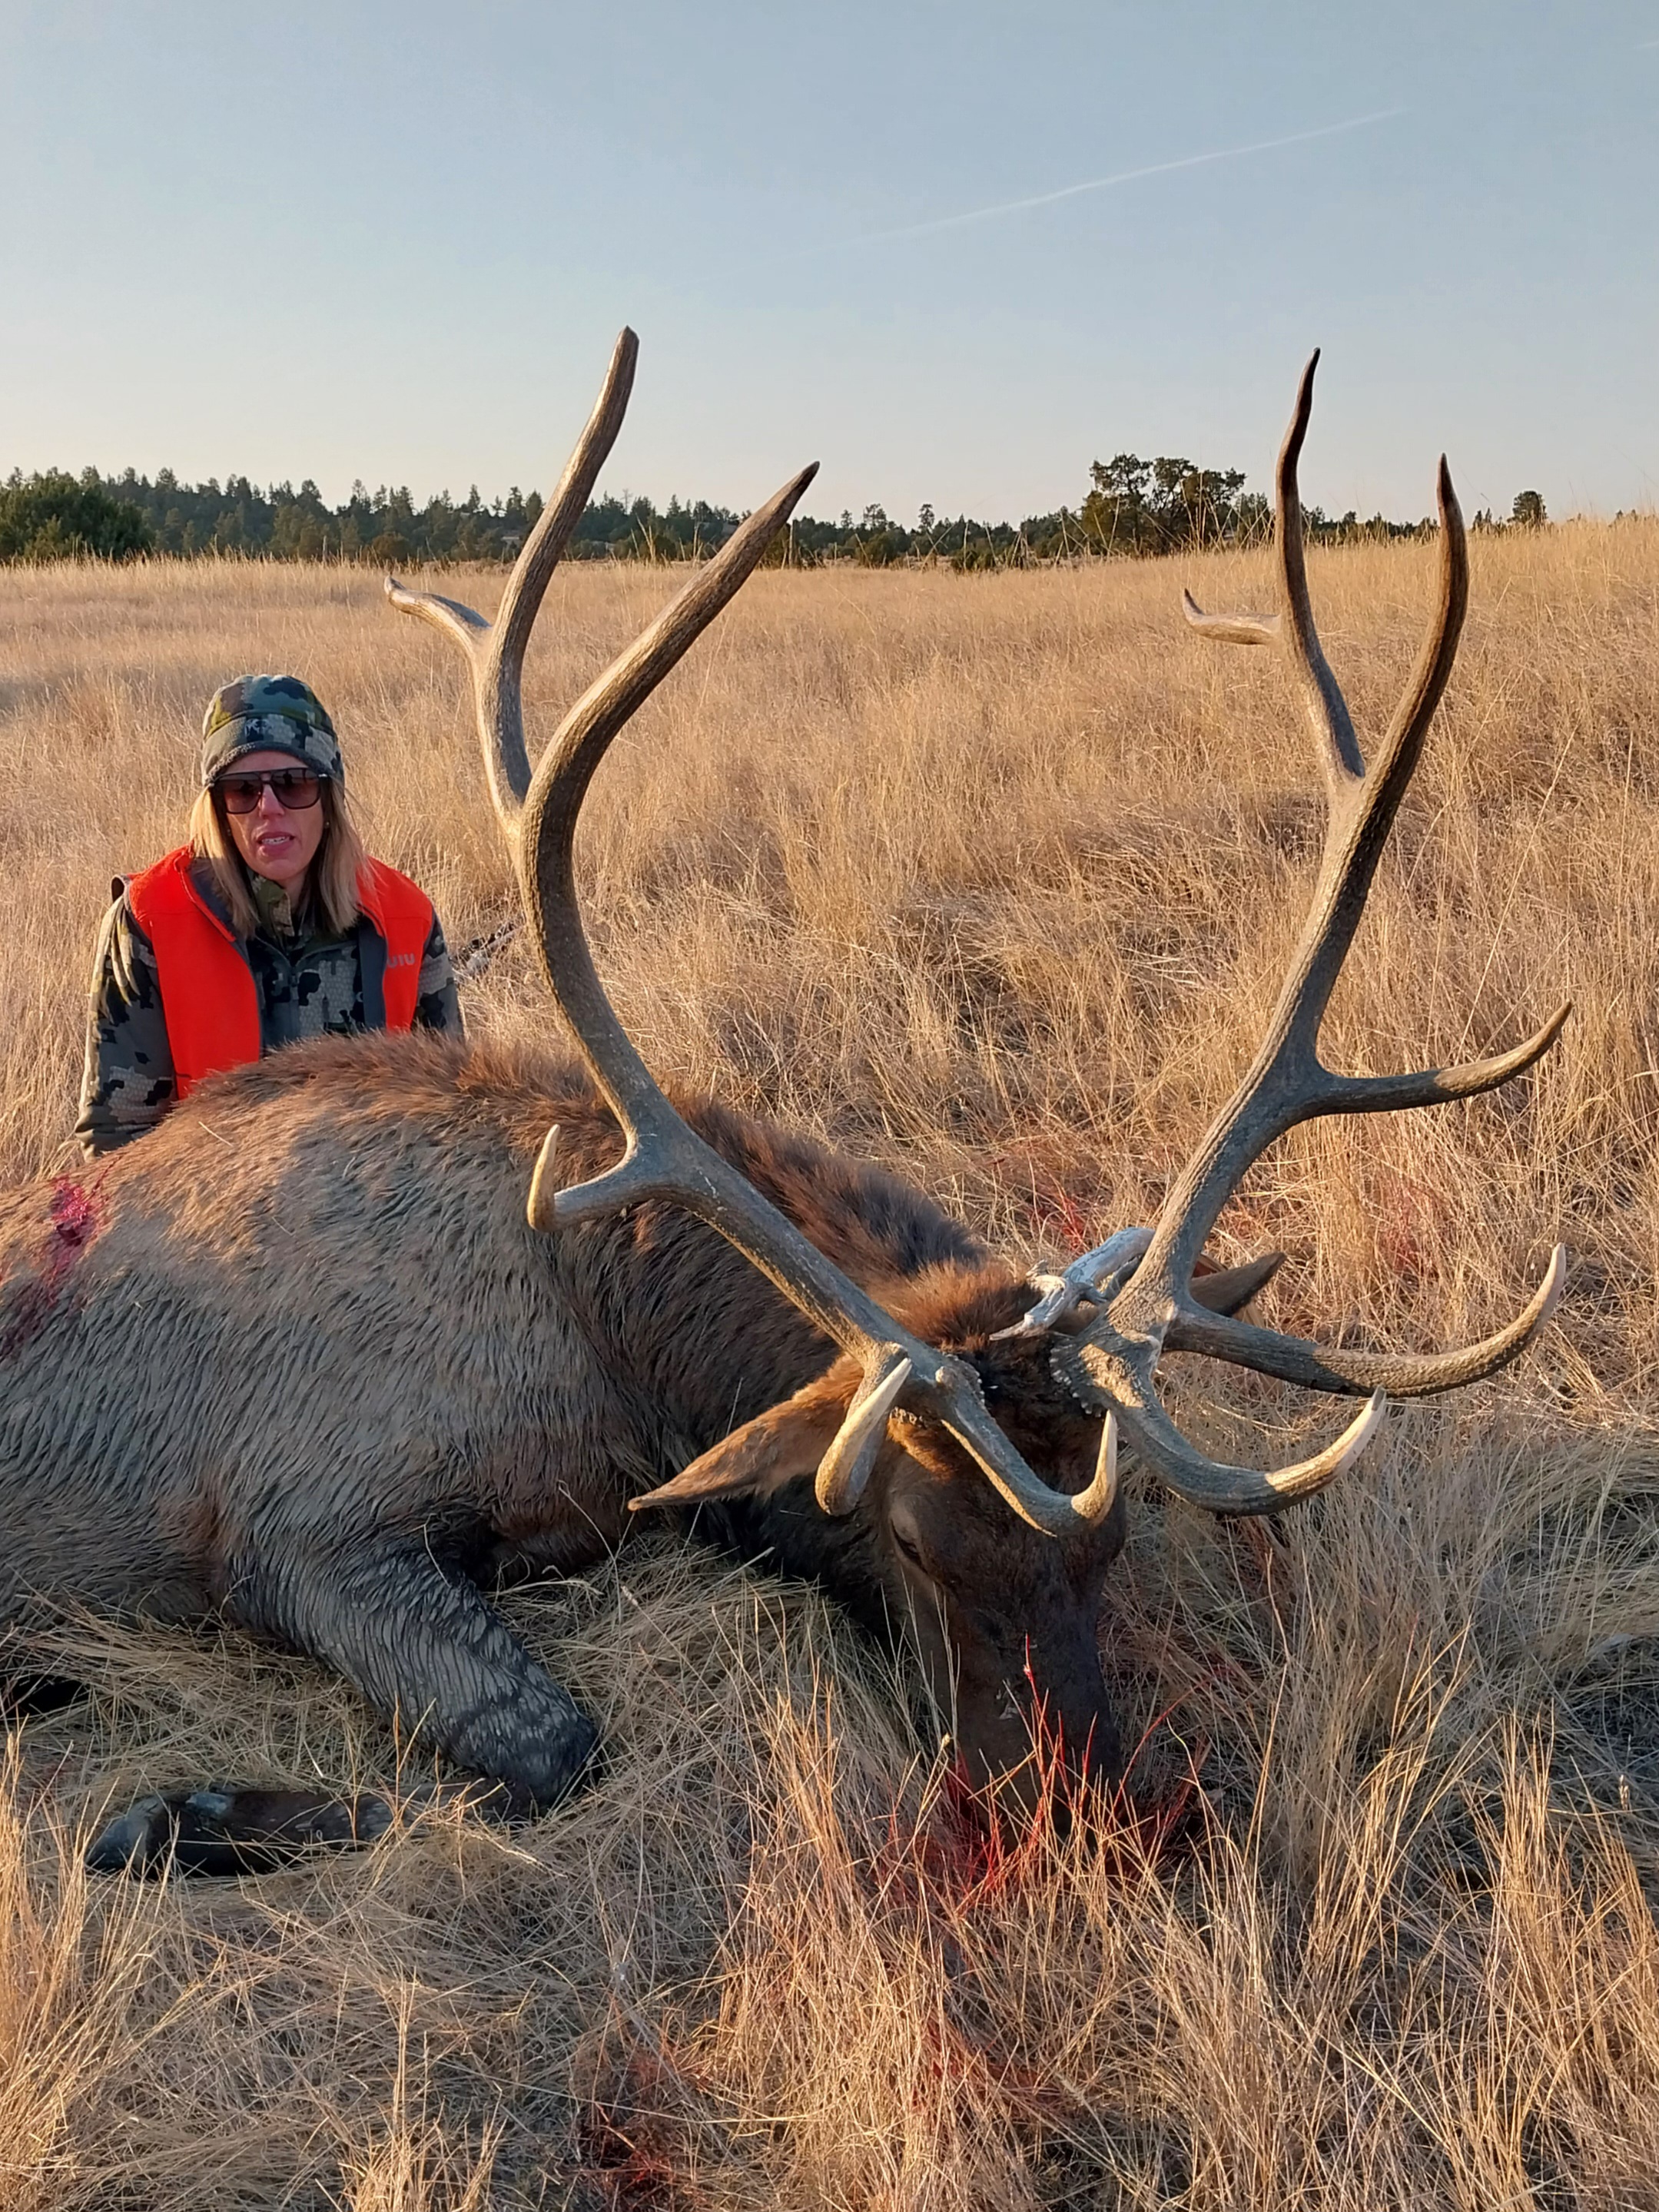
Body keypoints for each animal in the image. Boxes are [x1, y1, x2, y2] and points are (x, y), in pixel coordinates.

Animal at [0, 334, 1566, 1876]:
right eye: (914, 1537)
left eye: (1111, 1545)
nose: (1087, 1818)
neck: (608, 1334)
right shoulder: (299, 1521)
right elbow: (550, 1747)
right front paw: (163, 1812)